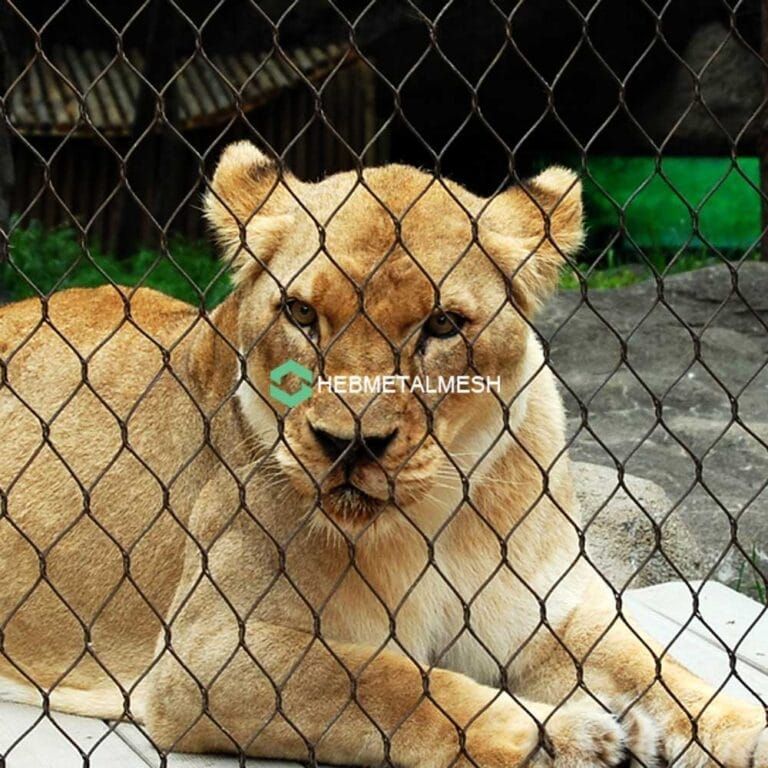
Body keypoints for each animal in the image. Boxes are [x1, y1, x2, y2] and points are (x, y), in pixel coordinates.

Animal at [0, 141, 765, 767]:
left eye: (443, 325)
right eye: (301, 314)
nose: (350, 445)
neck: (430, 521)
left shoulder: (547, 612)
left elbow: (654, 668)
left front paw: (745, 730)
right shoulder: (206, 654)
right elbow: (388, 684)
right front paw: (563, 737)